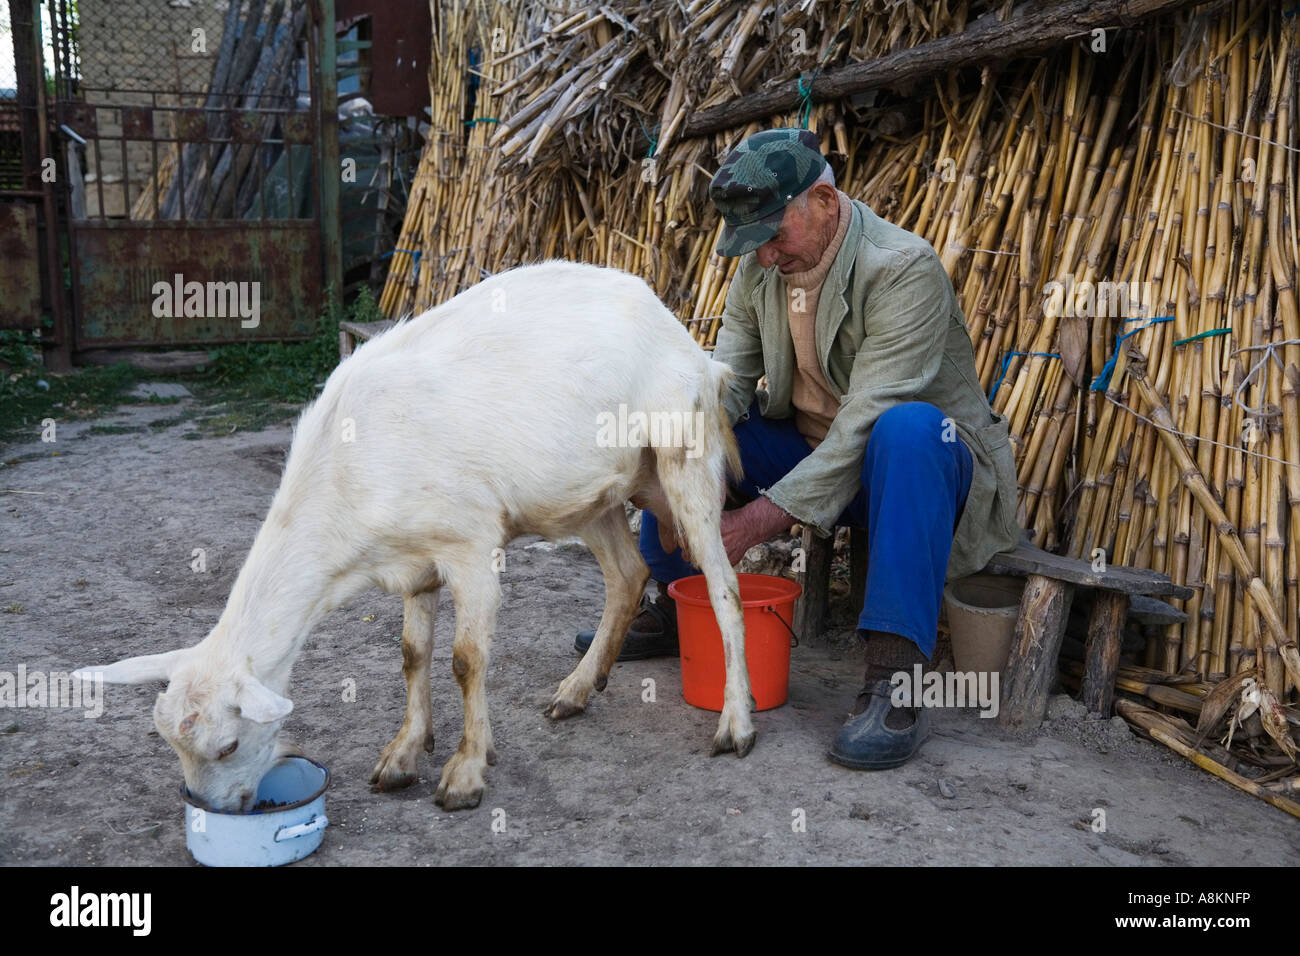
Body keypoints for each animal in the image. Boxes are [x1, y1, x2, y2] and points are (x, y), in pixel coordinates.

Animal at [75, 261, 755, 812]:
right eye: (173, 746)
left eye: (228, 745)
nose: (209, 807)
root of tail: (690, 342)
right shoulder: (414, 558)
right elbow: (411, 653)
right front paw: (404, 754)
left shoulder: (472, 544)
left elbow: (466, 659)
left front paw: (465, 773)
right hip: (592, 490)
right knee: (627, 574)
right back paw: (577, 690)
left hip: (683, 452)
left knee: (722, 585)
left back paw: (736, 724)